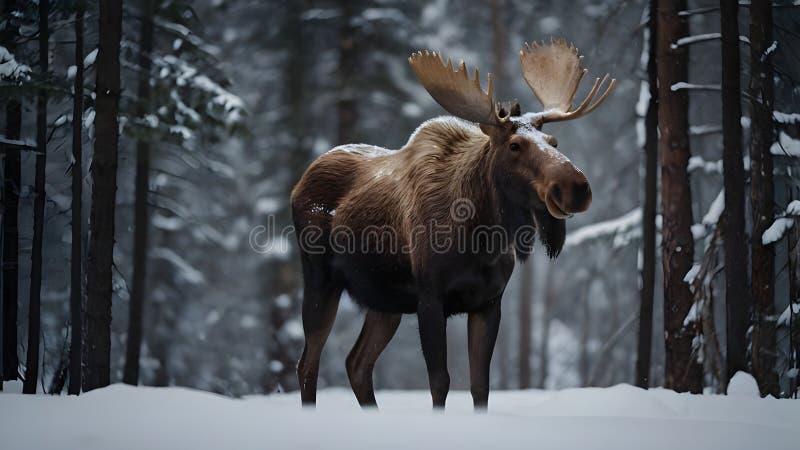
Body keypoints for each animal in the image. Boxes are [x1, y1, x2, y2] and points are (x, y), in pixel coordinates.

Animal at [290, 39, 615, 410]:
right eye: (514, 145)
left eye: (554, 143)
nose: (577, 187)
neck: (482, 238)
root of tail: (298, 184)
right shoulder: (431, 298)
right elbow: (440, 382)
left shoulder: (489, 302)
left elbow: (480, 386)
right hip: (320, 278)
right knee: (307, 363)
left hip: (385, 302)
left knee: (356, 363)